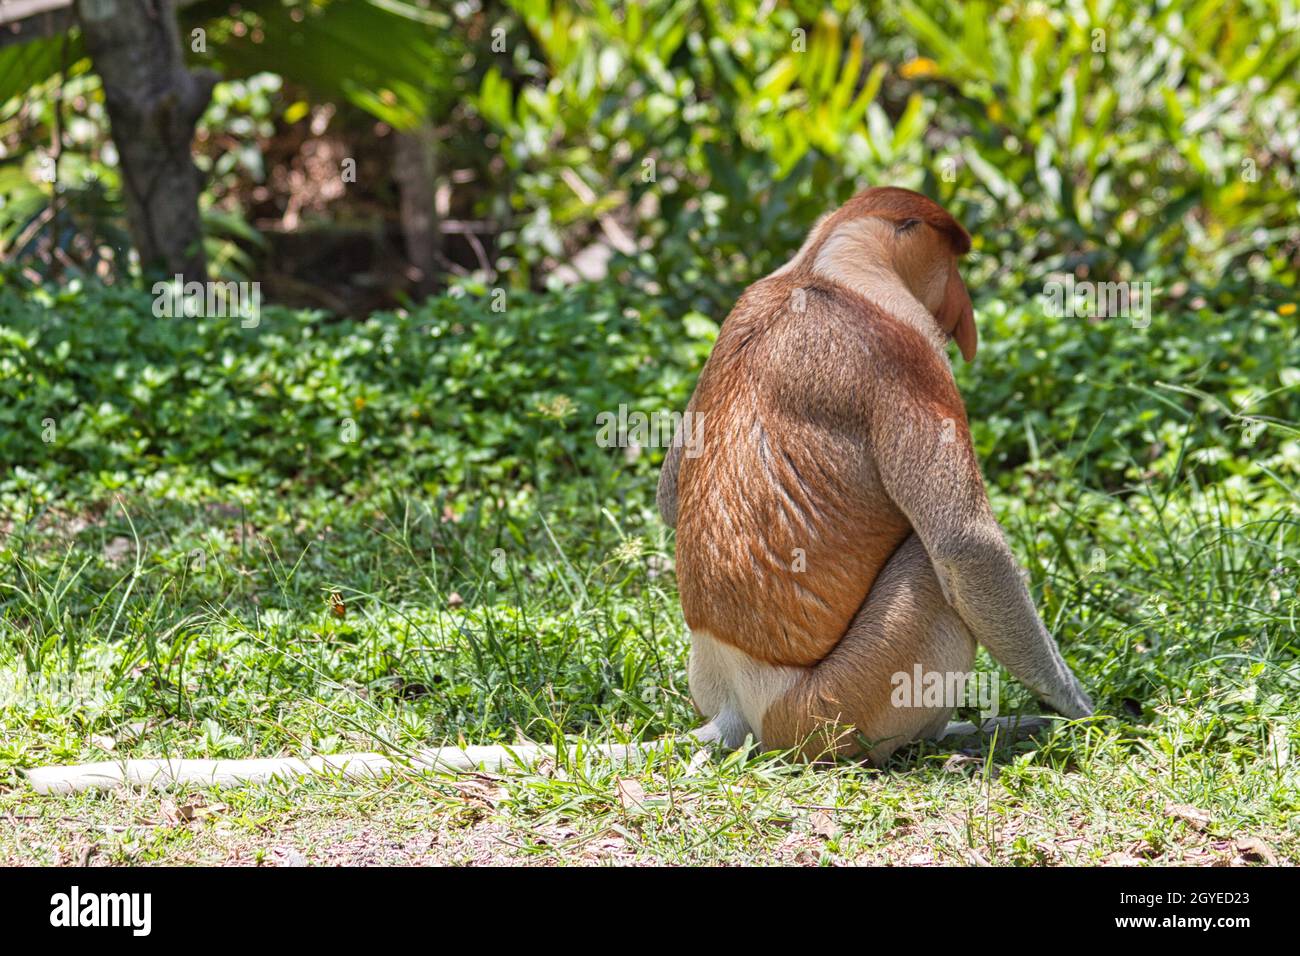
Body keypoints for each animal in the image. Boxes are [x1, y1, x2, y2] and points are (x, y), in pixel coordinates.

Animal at [656, 186, 1093, 763]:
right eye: (955, 262)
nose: (964, 310)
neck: (821, 266)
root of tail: (736, 707)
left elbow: (668, 497)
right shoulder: (909, 351)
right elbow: (965, 544)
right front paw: (1081, 707)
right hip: (840, 703)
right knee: (930, 565)